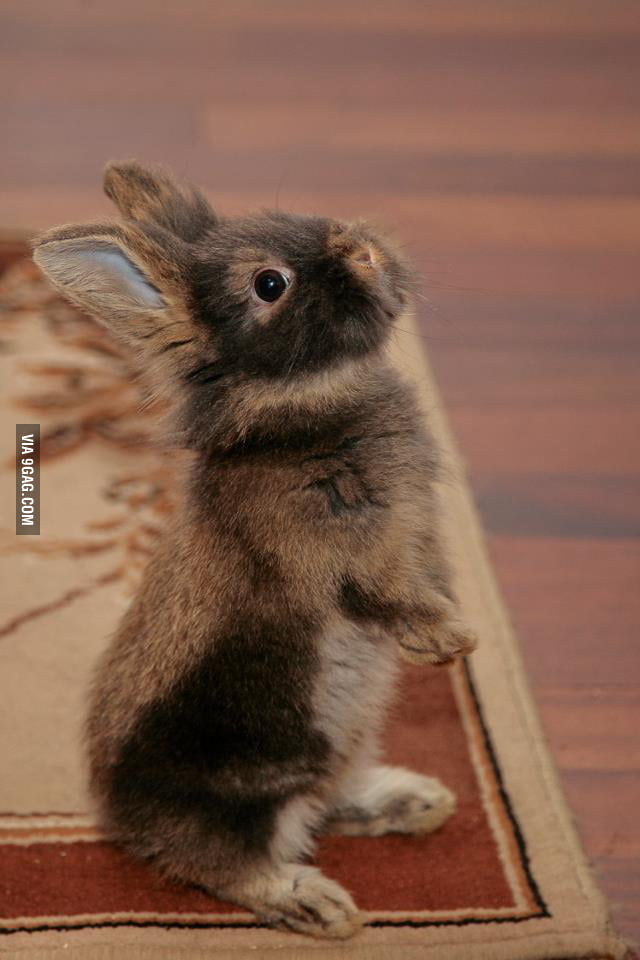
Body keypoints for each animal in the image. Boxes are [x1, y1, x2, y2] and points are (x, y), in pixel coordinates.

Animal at [33, 161, 478, 940]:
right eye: (270, 284)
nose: (362, 249)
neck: (298, 400)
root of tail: (120, 820)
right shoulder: (344, 552)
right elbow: (388, 593)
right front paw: (446, 641)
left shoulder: (418, 532)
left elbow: (430, 576)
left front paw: (452, 634)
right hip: (249, 791)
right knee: (228, 865)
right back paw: (322, 906)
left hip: (336, 750)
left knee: (327, 803)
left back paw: (418, 802)